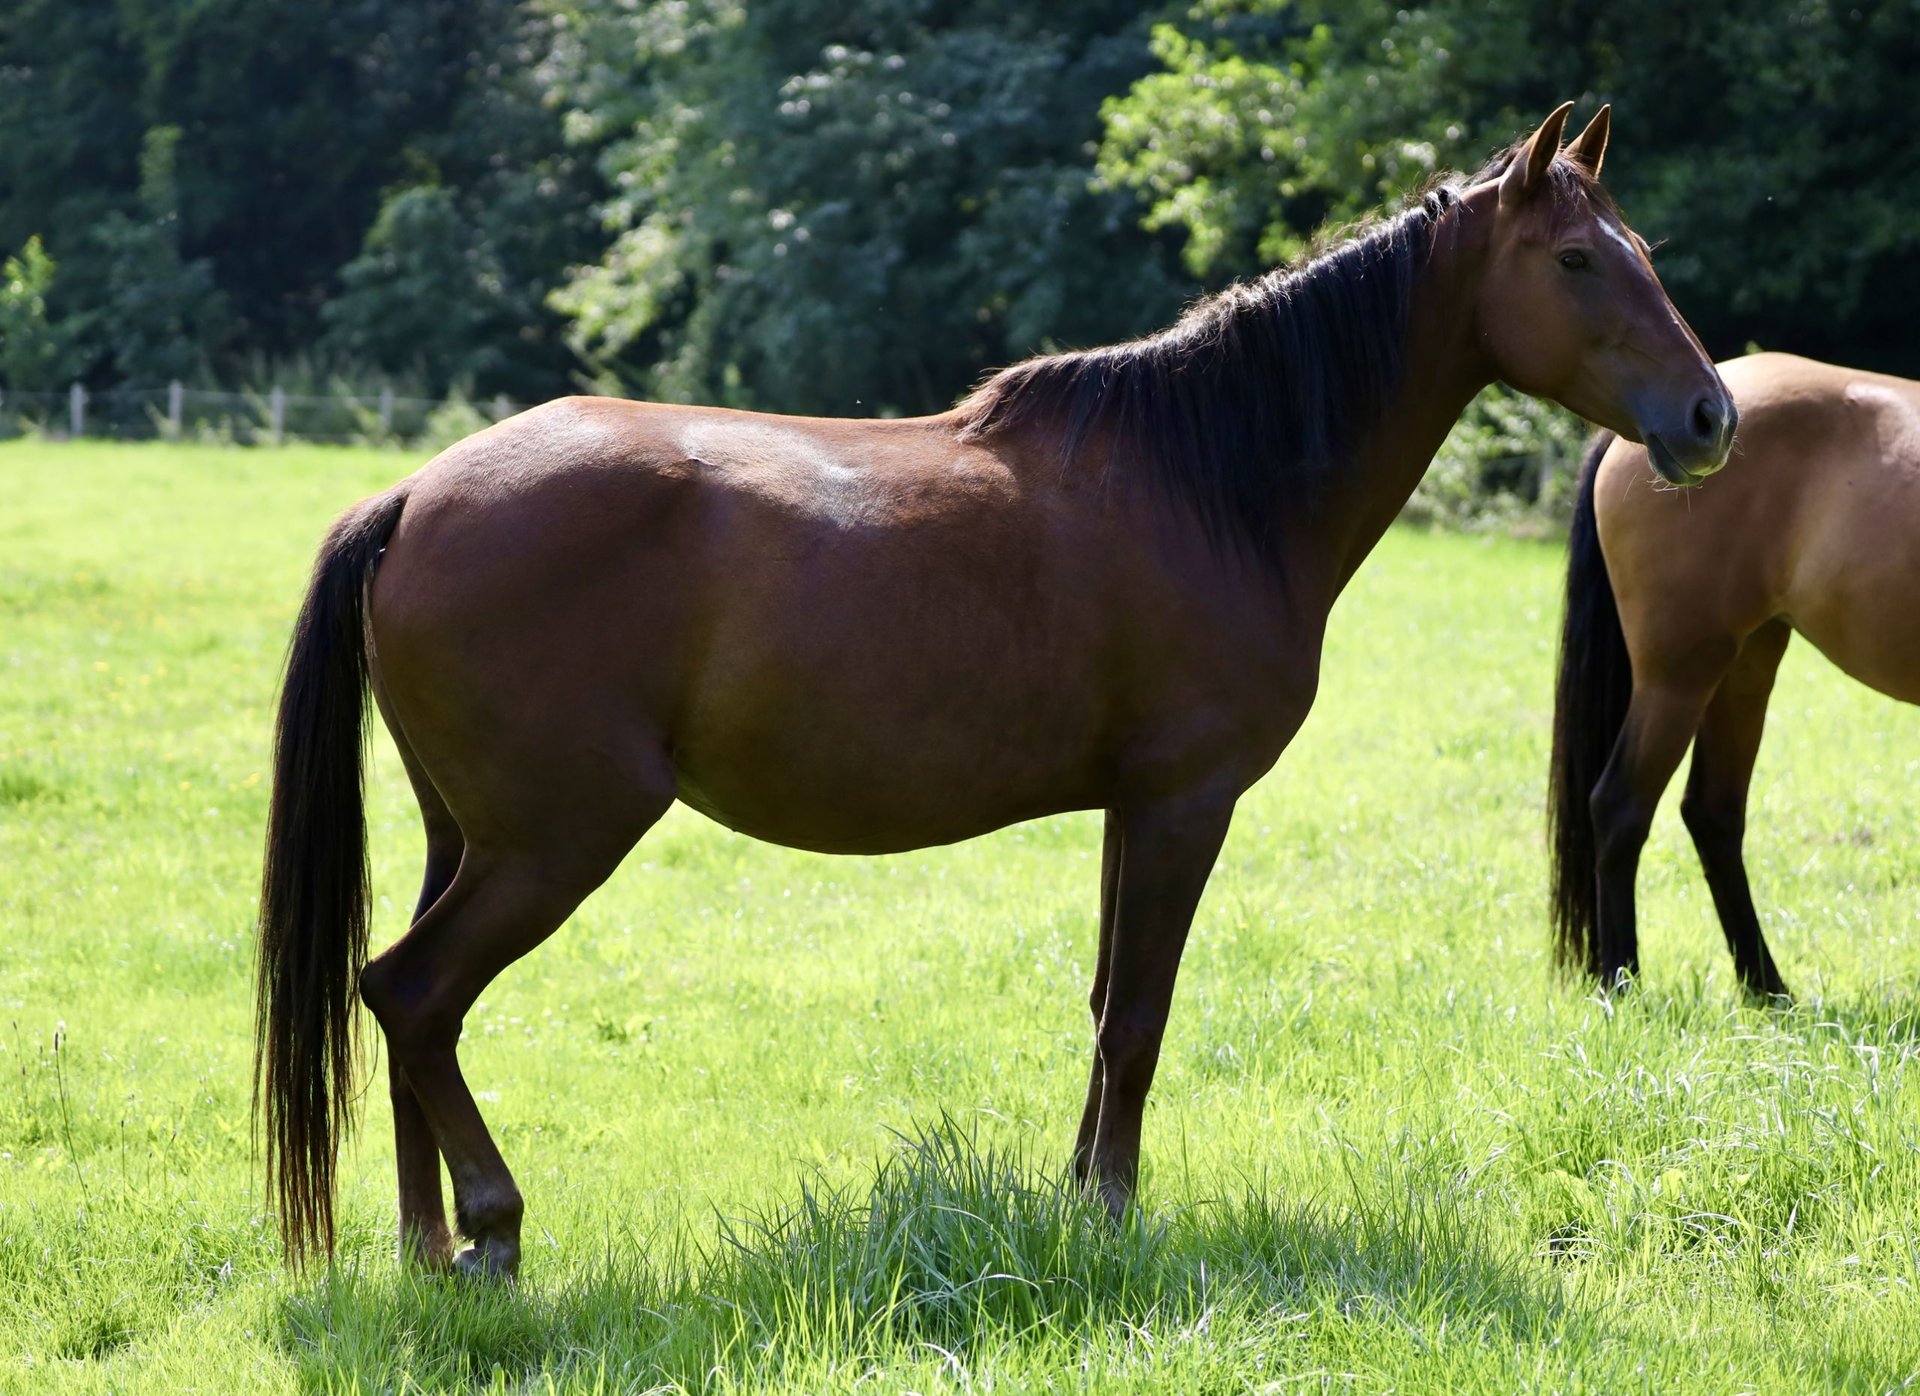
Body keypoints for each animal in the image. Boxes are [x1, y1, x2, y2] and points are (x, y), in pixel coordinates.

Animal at [256, 102, 1735, 1276]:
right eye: (1576, 260)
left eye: (1647, 256)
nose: (1712, 417)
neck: (1212, 481)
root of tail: (414, 498)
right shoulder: (1186, 801)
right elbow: (1140, 1012)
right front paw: (1115, 1217)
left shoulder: (1130, 809)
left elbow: (1103, 1005)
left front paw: (1081, 1199)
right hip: (556, 840)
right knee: (412, 993)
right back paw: (495, 1228)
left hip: (465, 835)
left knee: (411, 1013)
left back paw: (429, 1245)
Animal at [1550, 353, 1920, 999]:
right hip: (1677, 676)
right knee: (1620, 807)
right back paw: (1623, 984)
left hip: (1745, 665)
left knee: (1713, 812)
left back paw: (1767, 989)